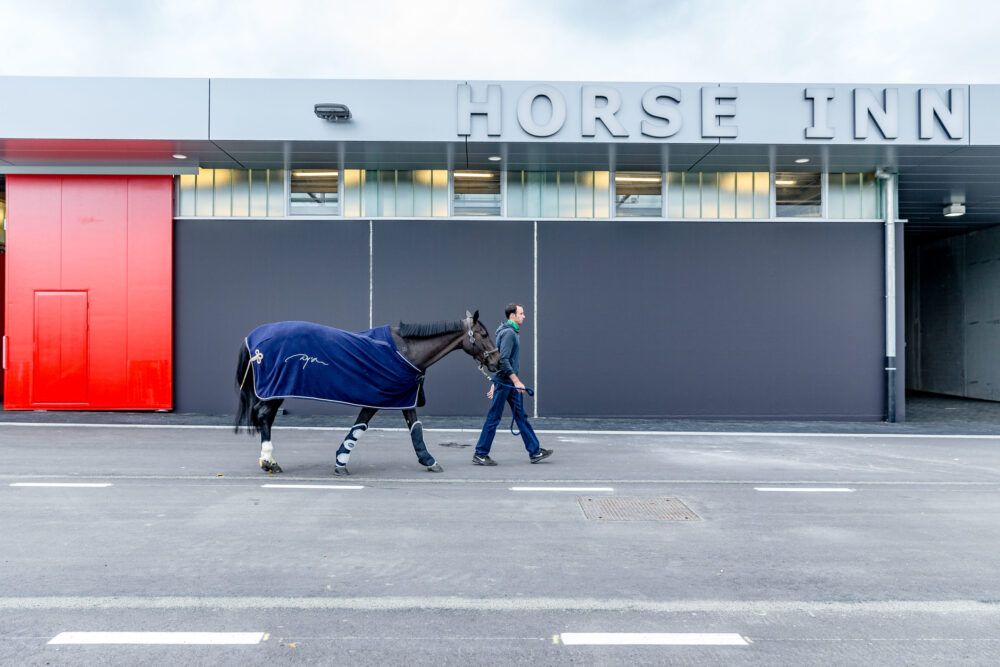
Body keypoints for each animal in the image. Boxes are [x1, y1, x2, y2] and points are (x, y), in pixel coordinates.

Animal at [234, 310, 500, 475]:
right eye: (484, 334)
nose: (498, 363)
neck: (406, 350)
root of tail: (253, 337)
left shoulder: (401, 398)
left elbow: (412, 429)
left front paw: (428, 461)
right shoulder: (382, 397)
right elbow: (361, 427)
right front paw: (341, 464)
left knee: (265, 417)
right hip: (275, 390)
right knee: (264, 416)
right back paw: (270, 461)